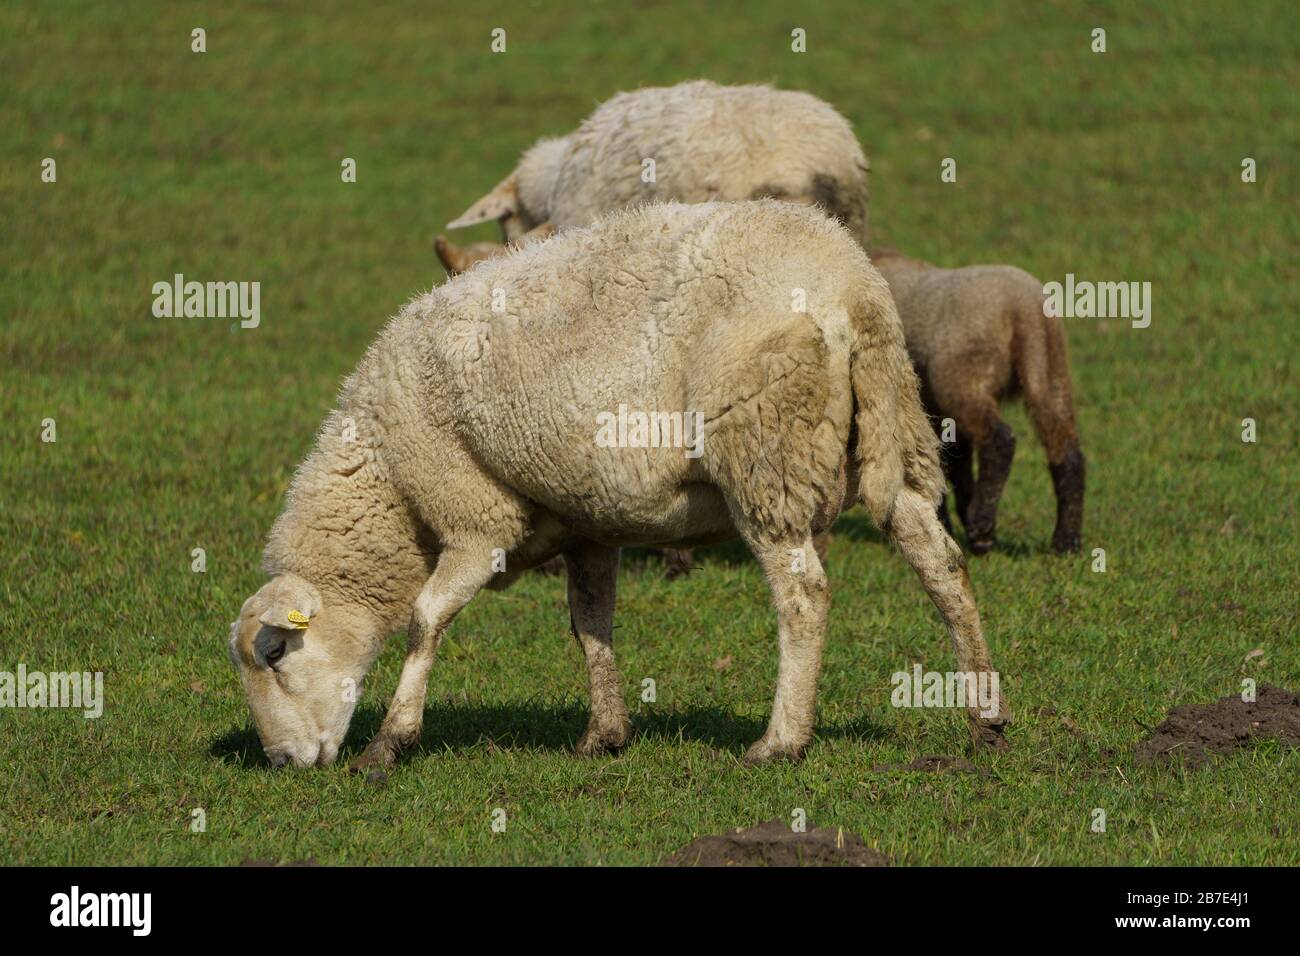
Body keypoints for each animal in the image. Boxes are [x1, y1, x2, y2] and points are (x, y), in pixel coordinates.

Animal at [227, 201, 1007, 776]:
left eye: (276, 655)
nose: (285, 763)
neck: (388, 488)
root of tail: (850, 287)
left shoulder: (476, 514)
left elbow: (426, 620)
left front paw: (391, 742)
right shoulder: (586, 525)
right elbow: (589, 624)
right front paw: (604, 733)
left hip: (765, 450)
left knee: (803, 595)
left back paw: (781, 741)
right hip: (897, 432)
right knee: (941, 564)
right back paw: (984, 720)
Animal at [870, 249, 1086, 554]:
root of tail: (1023, 308)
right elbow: (955, 464)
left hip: (963, 377)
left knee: (999, 440)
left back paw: (982, 525)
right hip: (1050, 372)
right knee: (1067, 452)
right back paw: (1065, 541)